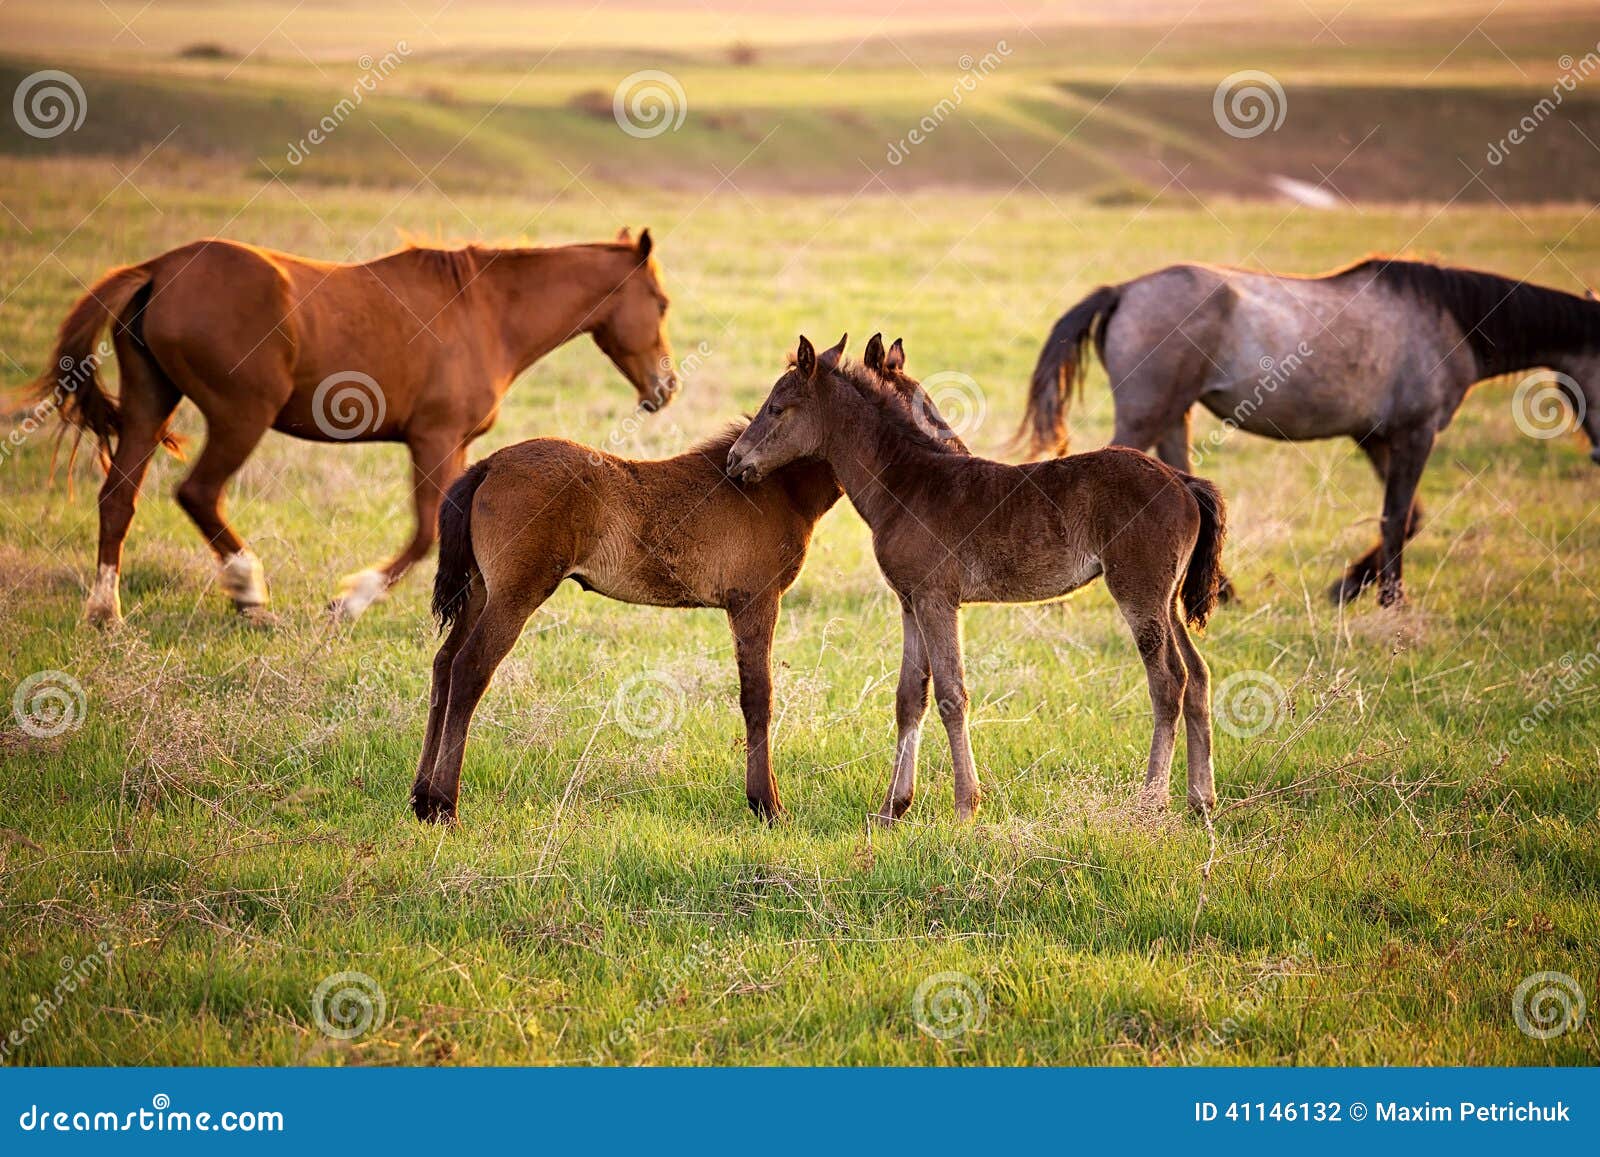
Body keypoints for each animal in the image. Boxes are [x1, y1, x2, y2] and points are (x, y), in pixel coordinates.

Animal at [24, 228, 677, 625]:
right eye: (662, 303)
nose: (665, 388)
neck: (487, 314)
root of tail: (160, 269)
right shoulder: (434, 441)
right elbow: (424, 533)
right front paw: (350, 601)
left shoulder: (455, 448)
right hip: (241, 417)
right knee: (198, 493)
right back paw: (249, 590)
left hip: (149, 404)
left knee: (119, 497)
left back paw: (105, 612)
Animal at [410, 332, 964, 824]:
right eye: (915, 407)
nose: (955, 450)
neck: (772, 489)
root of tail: (488, 465)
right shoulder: (754, 601)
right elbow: (758, 697)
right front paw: (768, 806)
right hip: (515, 595)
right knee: (470, 669)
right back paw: (445, 805)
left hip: (481, 591)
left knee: (443, 665)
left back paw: (420, 799)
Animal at [727, 336, 1227, 823]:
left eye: (777, 408)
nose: (735, 460)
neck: (908, 486)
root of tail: (1182, 481)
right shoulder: (910, 601)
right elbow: (909, 697)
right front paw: (892, 809)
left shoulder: (937, 599)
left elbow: (952, 694)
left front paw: (966, 807)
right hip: (1166, 600)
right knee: (1198, 675)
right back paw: (1201, 801)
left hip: (1137, 592)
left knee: (1168, 682)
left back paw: (1152, 803)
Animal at [1018, 257, 1600, 606]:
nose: (1597, 458)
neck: (1445, 319)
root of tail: (1126, 290)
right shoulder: (1414, 433)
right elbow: (1397, 518)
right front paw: (1390, 600)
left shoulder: (1376, 437)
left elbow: (1408, 516)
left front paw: (1348, 587)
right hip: (1145, 416)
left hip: (1174, 416)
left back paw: (1222, 593)